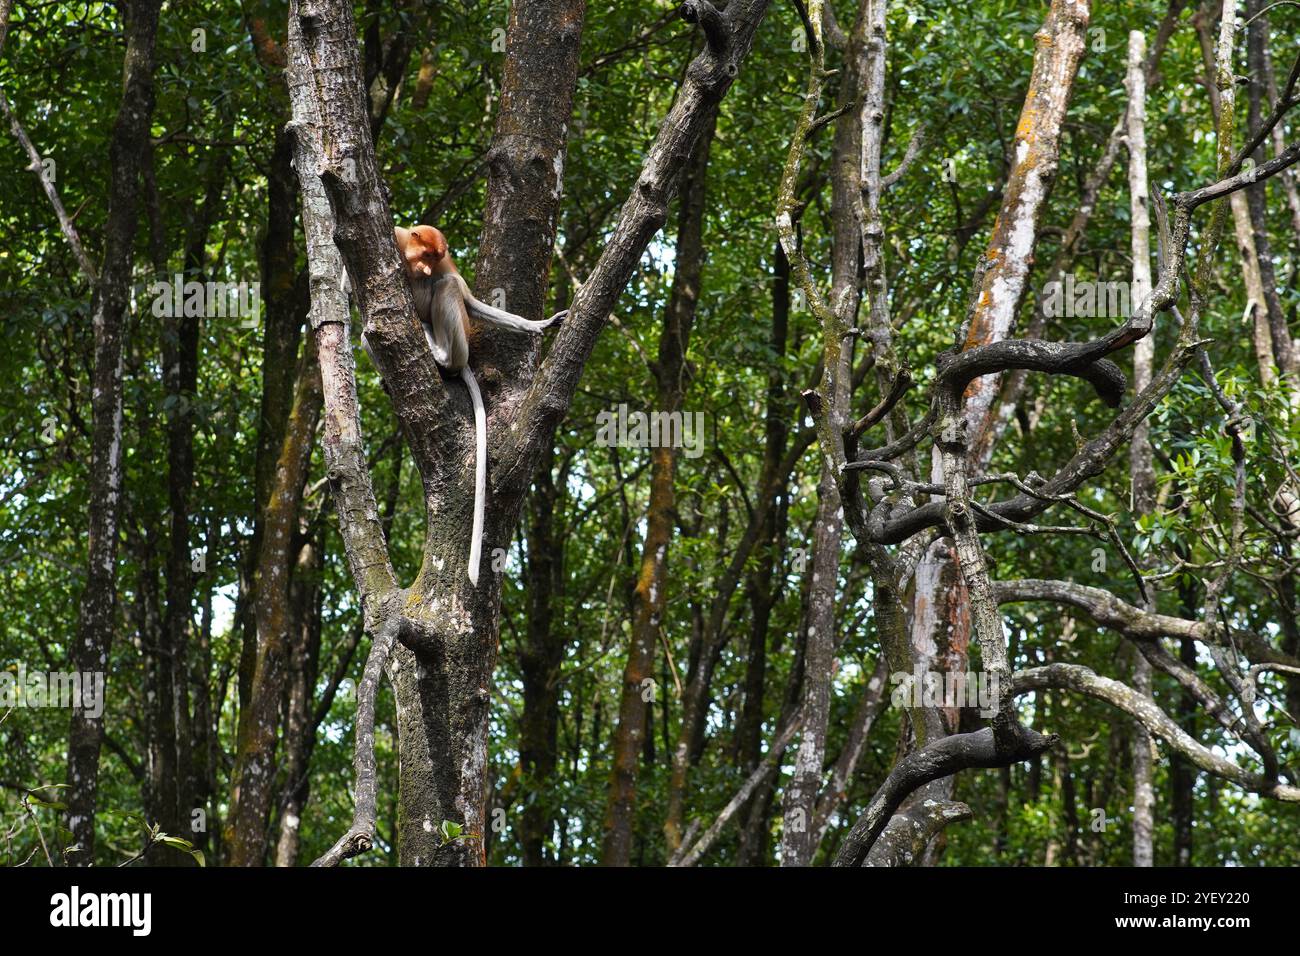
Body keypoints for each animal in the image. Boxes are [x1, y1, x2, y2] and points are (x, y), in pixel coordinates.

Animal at [366, 224, 566, 587]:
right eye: (424, 255)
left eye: (434, 258)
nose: (426, 270)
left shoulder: (445, 266)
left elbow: (468, 300)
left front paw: (540, 324)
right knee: (366, 334)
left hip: (455, 334)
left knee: (449, 287)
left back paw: (445, 359)